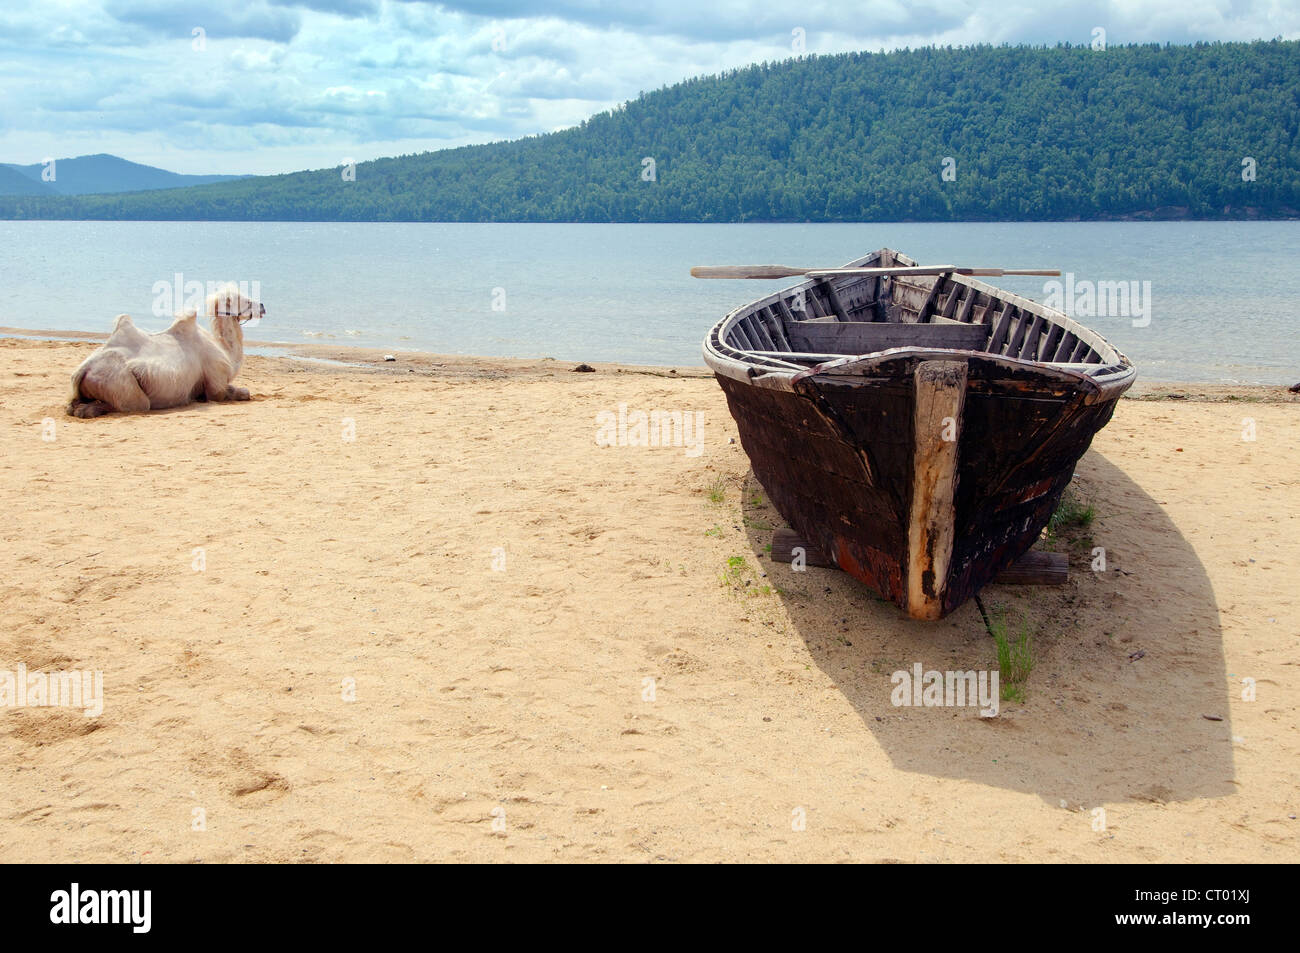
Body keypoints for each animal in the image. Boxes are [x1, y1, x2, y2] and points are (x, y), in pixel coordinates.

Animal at [67, 284, 264, 418]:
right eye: (246, 300)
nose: (262, 306)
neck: (225, 353)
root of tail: (83, 370)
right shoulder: (216, 384)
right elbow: (241, 392)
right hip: (123, 386)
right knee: (137, 404)